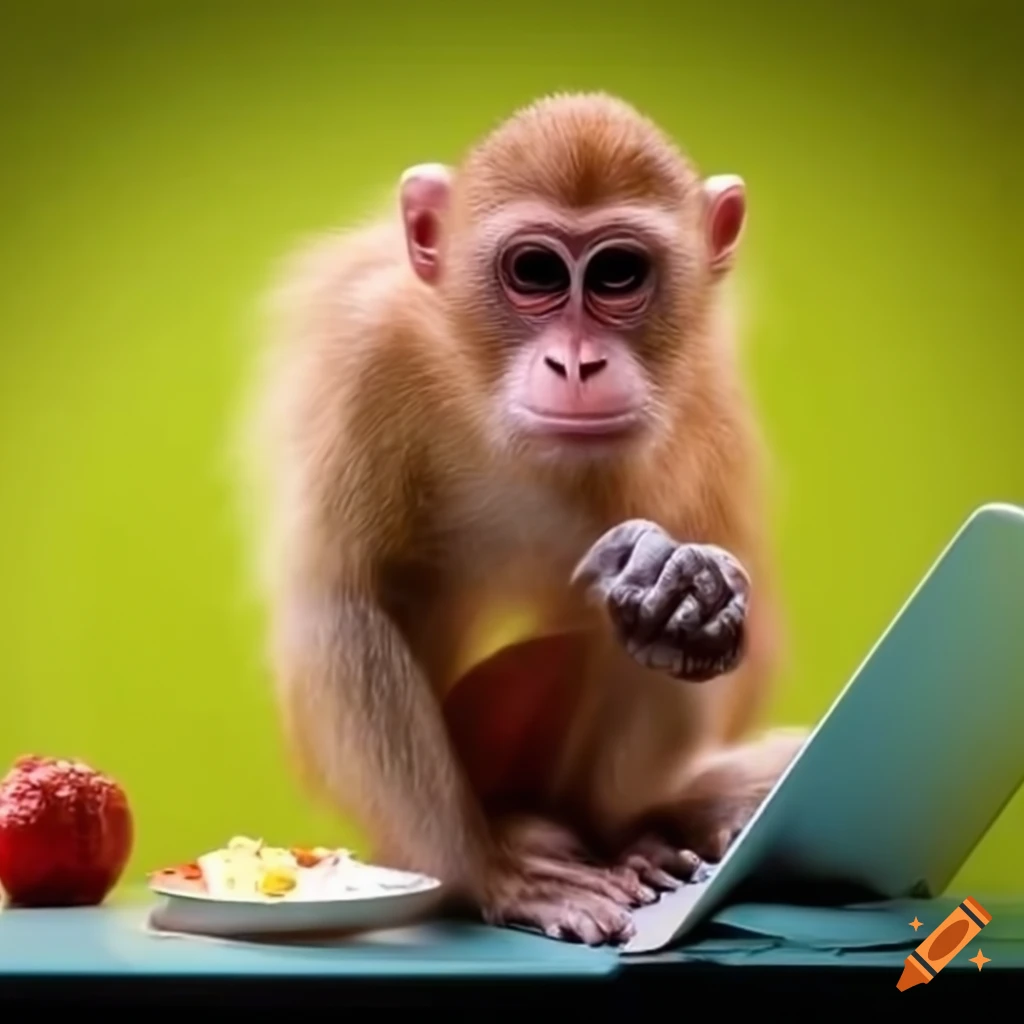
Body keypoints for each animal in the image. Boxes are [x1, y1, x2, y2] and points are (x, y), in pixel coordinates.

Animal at [238, 92, 807, 947]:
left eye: (618, 273)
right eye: (534, 271)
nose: (577, 363)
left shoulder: (710, 386)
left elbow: (745, 622)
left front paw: (685, 581)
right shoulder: (368, 348)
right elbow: (344, 601)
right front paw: (492, 875)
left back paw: (642, 823)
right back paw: (528, 839)